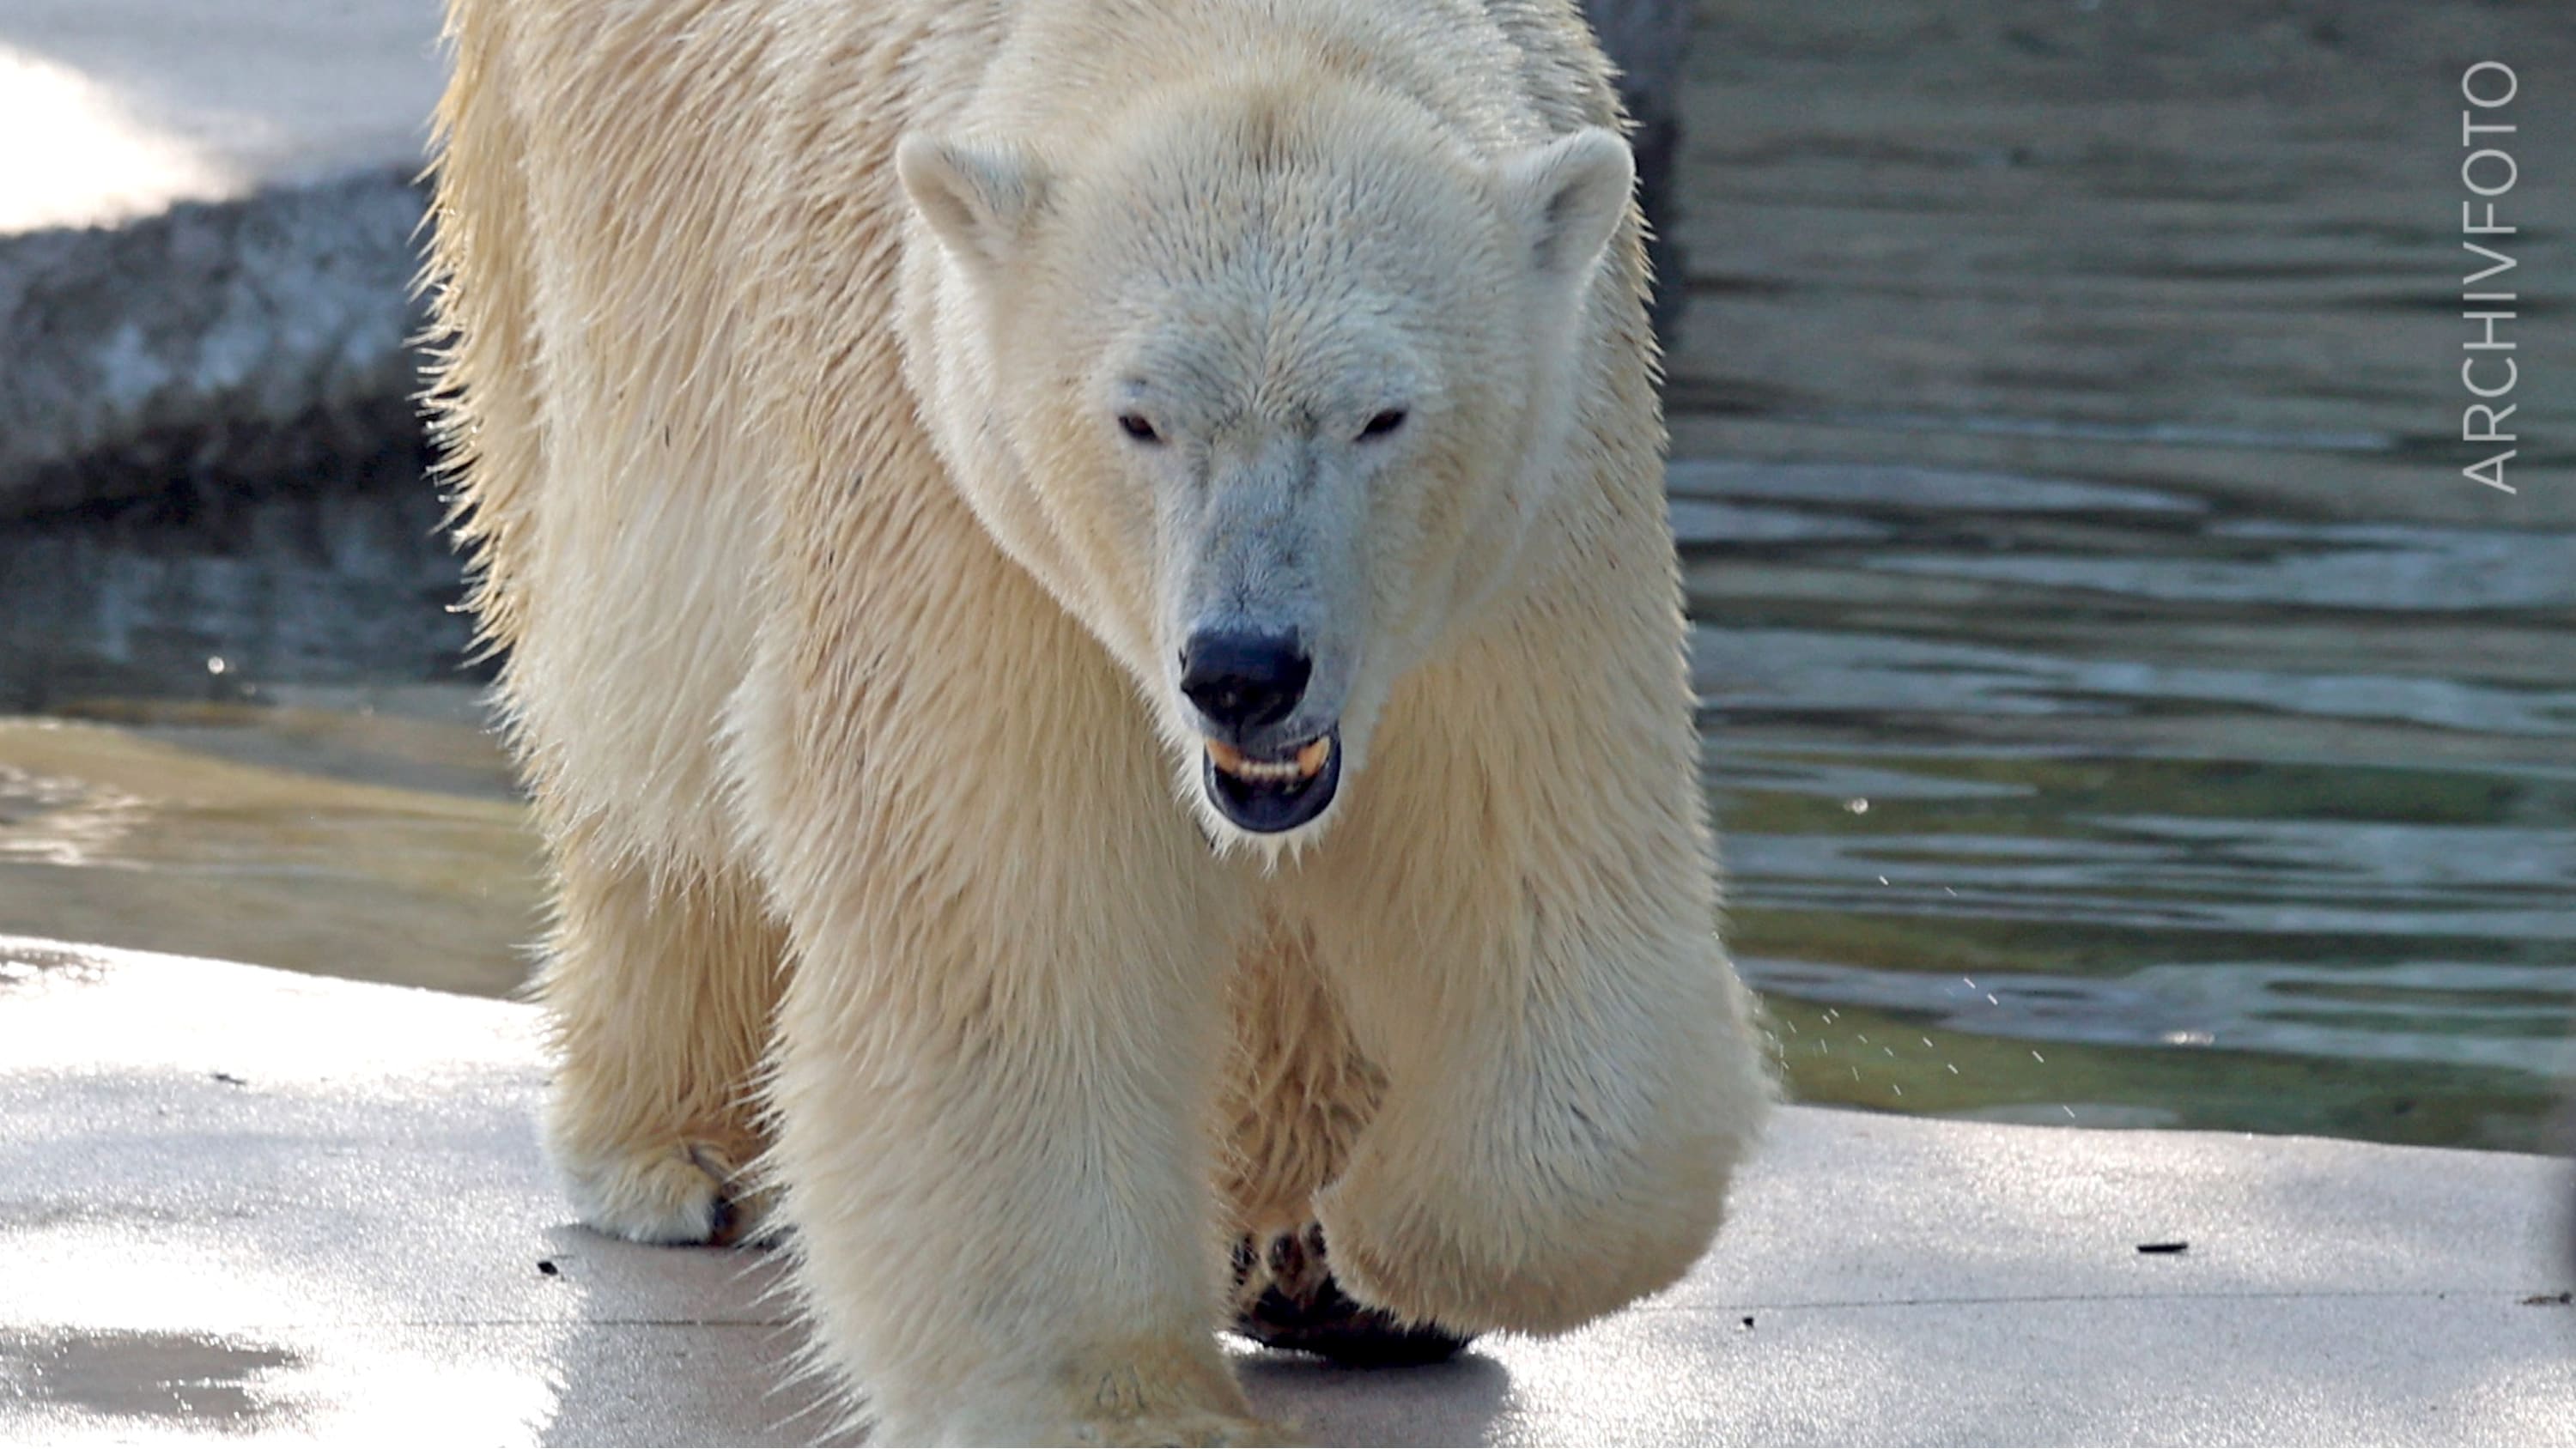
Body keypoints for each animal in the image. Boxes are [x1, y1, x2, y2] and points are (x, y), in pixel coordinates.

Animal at [428, 0, 1772, 1441]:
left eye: (1381, 415)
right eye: (1138, 418)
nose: (1244, 668)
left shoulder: (1542, 512)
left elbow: (1537, 857)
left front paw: (1389, 1244)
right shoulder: (946, 460)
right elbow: (1014, 903)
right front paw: (1126, 1399)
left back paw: (1307, 1258)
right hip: (561, 238)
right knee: (636, 722)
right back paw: (681, 1150)